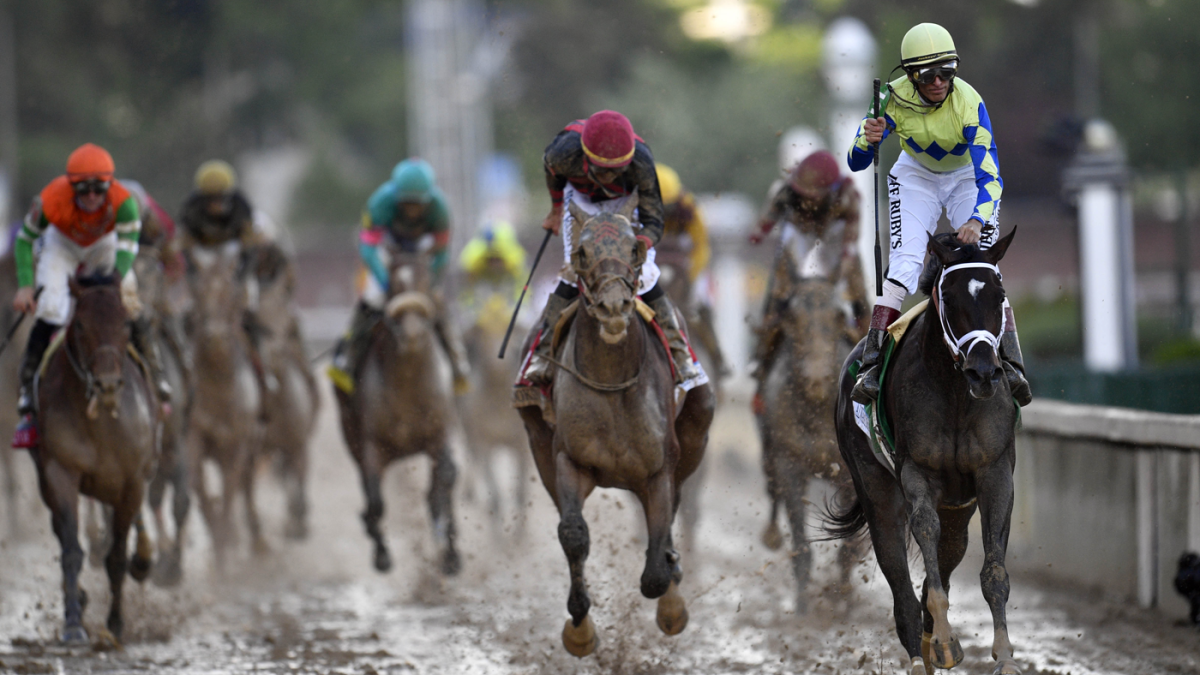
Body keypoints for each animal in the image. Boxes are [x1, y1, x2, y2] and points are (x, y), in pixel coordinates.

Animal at [33, 272, 156, 644]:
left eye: (126, 324)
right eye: (81, 324)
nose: (107, 385)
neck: (99, 421)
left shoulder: (131, 482)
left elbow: (116, 557)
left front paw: (115, 623)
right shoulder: (60, 472)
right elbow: (71, 549)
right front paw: (73, 623)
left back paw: (143, 559)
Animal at [335, 248, 460, 576]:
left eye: (426, 280)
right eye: (393, 284)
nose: (413, 333)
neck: (408, 382)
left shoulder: (440, 432)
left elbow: (444, 479)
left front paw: (451, 555)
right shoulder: (371, 446)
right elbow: (376, 502)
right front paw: (380, 553)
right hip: (352, 440)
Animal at [516, 202, 715, 657]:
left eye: (634, 249)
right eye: (582, 251)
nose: (612, 307)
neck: (611, 382)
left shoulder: (659, 469)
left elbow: (656, 570)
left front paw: (671, 601)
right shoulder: (568, 460)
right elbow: (573, 533)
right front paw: (580, 628)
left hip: (695, 433)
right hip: (538, 442)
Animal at [756, 247, 865, 612]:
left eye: (838, 315)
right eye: (792, 317)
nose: (816, 378)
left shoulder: (849, 474)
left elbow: (850, 545)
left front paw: (842, 596)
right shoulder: (789, 464)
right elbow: (801, 544)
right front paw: (804, 607)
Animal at [825, 230, 1021, 675]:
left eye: (1000, 293)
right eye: (948, 296)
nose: (984, 372)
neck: (956, 396)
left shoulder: (994, 472)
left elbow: (994, 573)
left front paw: (1004, 656)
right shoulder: (917, 472)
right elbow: (924, 533)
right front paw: (947, 642)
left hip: (959, 510)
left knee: (946, 559)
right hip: (874, 489)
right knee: (902, 592)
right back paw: (921, 653)